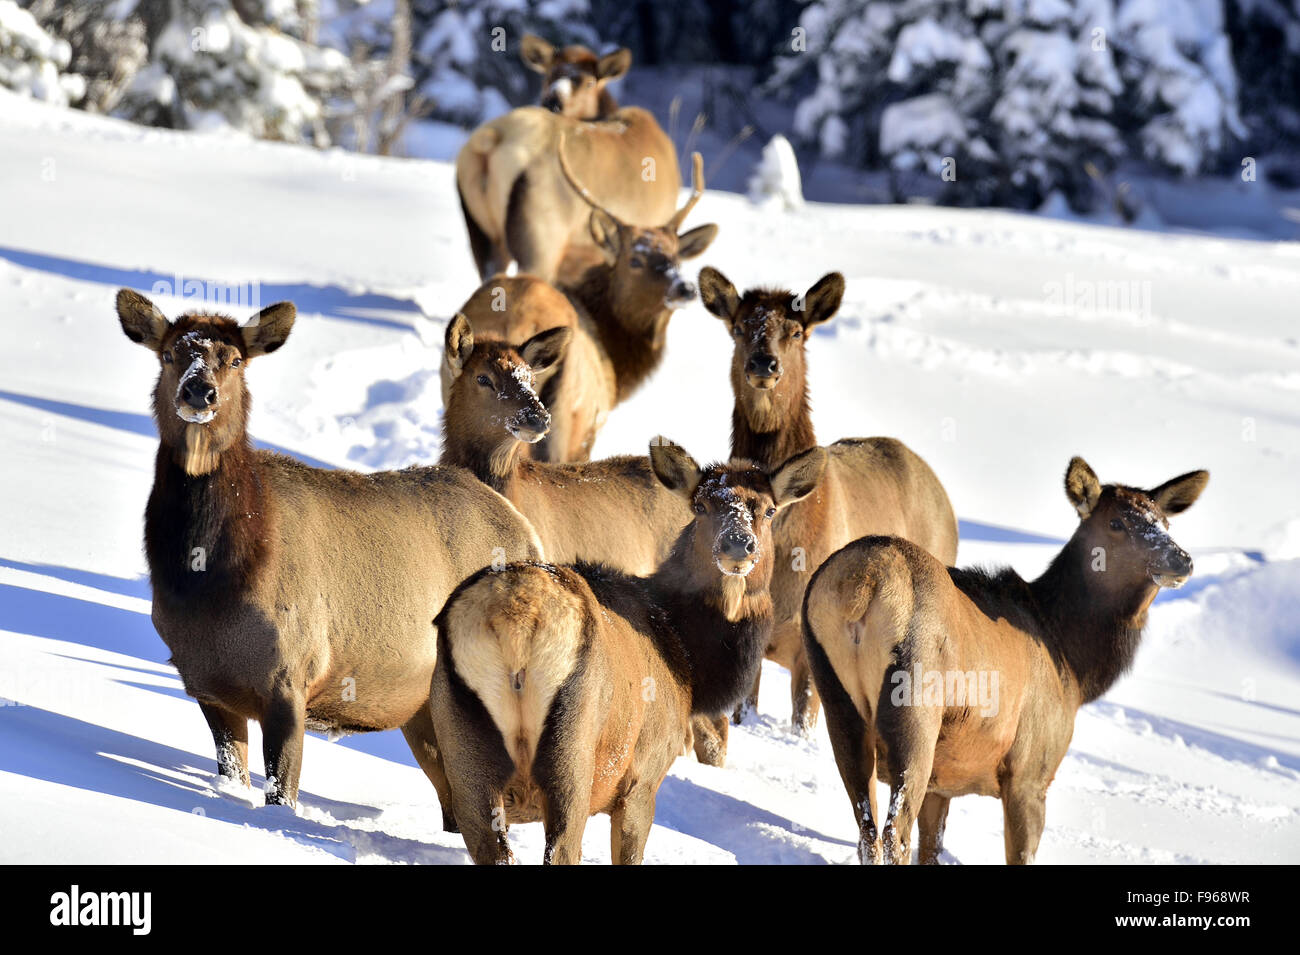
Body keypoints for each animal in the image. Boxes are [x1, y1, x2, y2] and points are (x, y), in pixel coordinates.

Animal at [116, 289, 543, 822]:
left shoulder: (291, 674)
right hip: (425, 710)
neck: (210, 585)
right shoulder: (207, 684)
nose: (200, 392)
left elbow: (282, 793)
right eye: (171, 353)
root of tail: (526, 530)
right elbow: (233, 773)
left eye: (236, 360)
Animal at [430, 437, 827, 863]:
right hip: (573, 755)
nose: (738, 545)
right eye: (700, 506)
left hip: (463, 751)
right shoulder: (644, 775)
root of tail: (515, 620)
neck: (688, 658)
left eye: (769, 510)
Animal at [442, 144, 717, 463]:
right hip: (565, 418)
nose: (685, 288)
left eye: (676, 258)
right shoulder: (590, 428)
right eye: (635, 260)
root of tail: (514, 322)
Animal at [802, 457, 1208, 865]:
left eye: (1165, 522)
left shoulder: (942, 783)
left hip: (835, 693)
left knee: (866, 830)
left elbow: (932, 847)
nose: (1181, 559)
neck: (1073, 666)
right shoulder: (1031, 772)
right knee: (893, 832)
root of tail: (863, 583)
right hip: (914, 702)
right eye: (1116, 523)